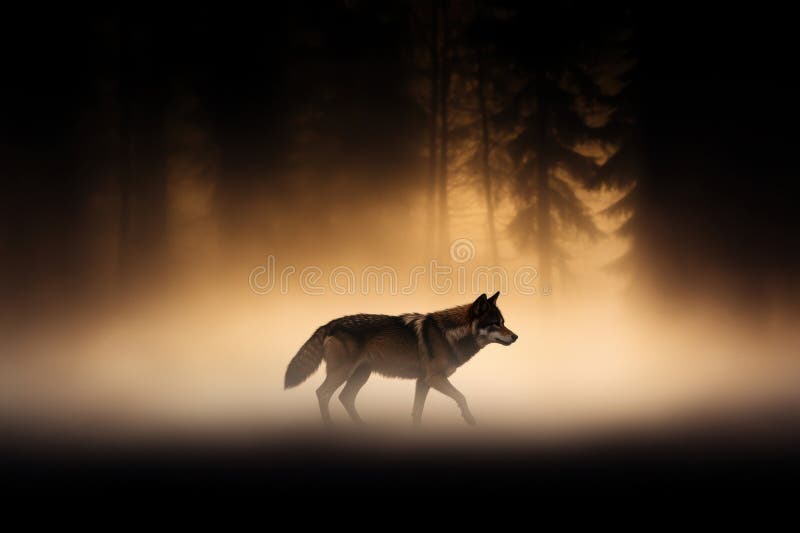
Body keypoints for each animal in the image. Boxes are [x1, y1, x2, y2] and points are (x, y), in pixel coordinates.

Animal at [284, 292, 517, 425]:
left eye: (504, 322)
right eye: (495, 323)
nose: (516, 336)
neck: (449, 334)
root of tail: (329, 324)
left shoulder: (423, 382)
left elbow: (417, 412)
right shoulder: (434, 379)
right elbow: (461, 397)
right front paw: (471, 420)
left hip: (361, 374)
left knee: (345, 398)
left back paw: (363, 427)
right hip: (343, 373)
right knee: (322, 393)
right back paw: (330, 427)